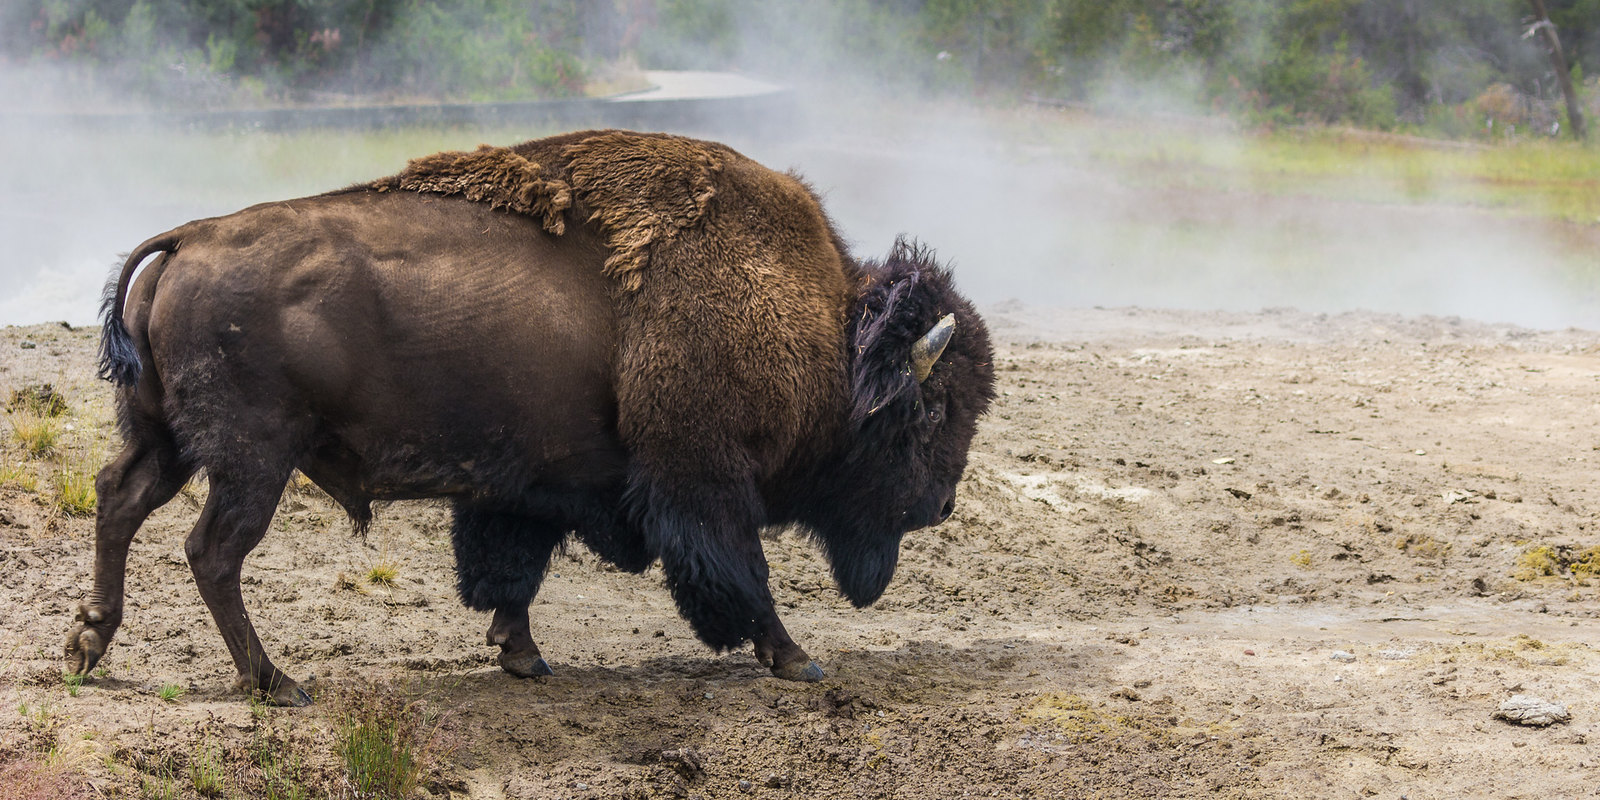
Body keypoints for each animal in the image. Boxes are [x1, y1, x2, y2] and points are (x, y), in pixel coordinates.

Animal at [66, 130, 995, 706]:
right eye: (932, 410)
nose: (942, 503)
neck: (822, 330)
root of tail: (187, 239)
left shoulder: (529, 487)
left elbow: (512, 572)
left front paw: (523, 657)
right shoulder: (704, 481)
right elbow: (742, 578)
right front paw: (799, 661)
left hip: (168, 443)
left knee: (119, 502)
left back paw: (86, 647)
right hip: (252, 460)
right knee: (212, 553)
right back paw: (278, 683)